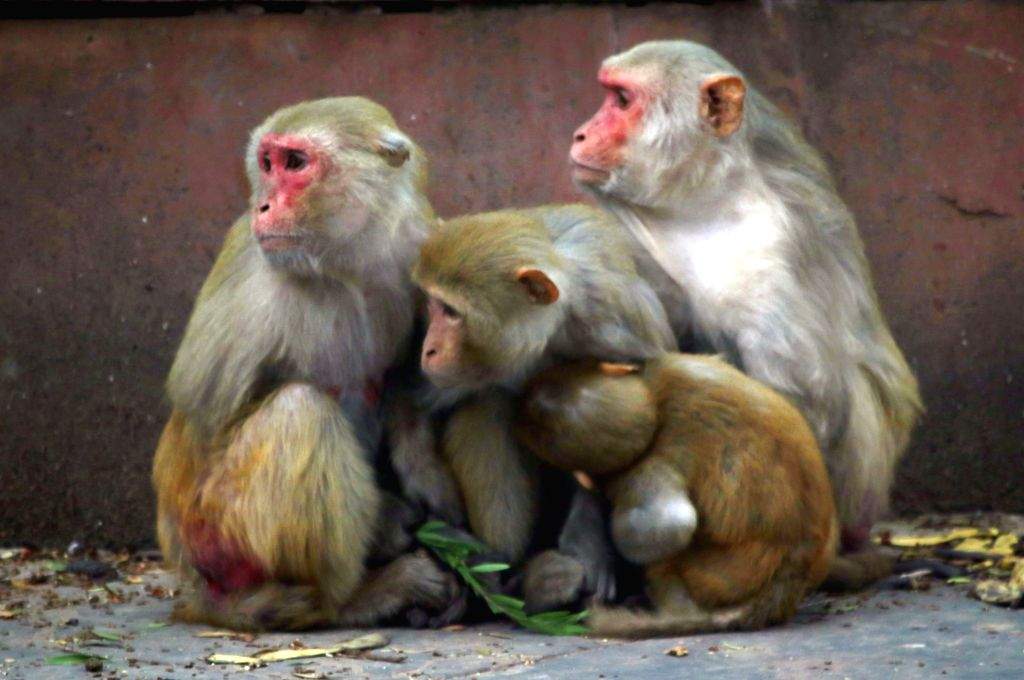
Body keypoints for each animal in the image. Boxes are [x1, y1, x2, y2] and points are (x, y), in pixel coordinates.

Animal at [151, 97, 458, 631]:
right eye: (267, 164)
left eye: (295, 163)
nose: (263, 206)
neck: (347, 259)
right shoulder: (255, 269)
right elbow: (205, 411)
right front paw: (389, 524)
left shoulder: (422, 243)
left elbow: (403, 378)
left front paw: (426, 483)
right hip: (217, 531)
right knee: (301, 412)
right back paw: (355, 600)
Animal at [411, 204, 677, 610]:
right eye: (433, 304)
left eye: (452, 312)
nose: (429, 349)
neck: (554, 324)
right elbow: (414, 404)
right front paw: (431, 491)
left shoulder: (615, 325)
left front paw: (588, 548)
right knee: (491, 403)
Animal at [514, 356, 837, 637]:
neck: (655, 410)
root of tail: (789, 578)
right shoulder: (683, 362)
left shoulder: (644, 469)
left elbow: (670, 525)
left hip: (716, 577)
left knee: (666, 560)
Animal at [569, 40, 922, 557]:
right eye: (609, 93)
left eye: (622, 100)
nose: (580, 132)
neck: (705, 199)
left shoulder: (774, 249)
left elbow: (807, 407)